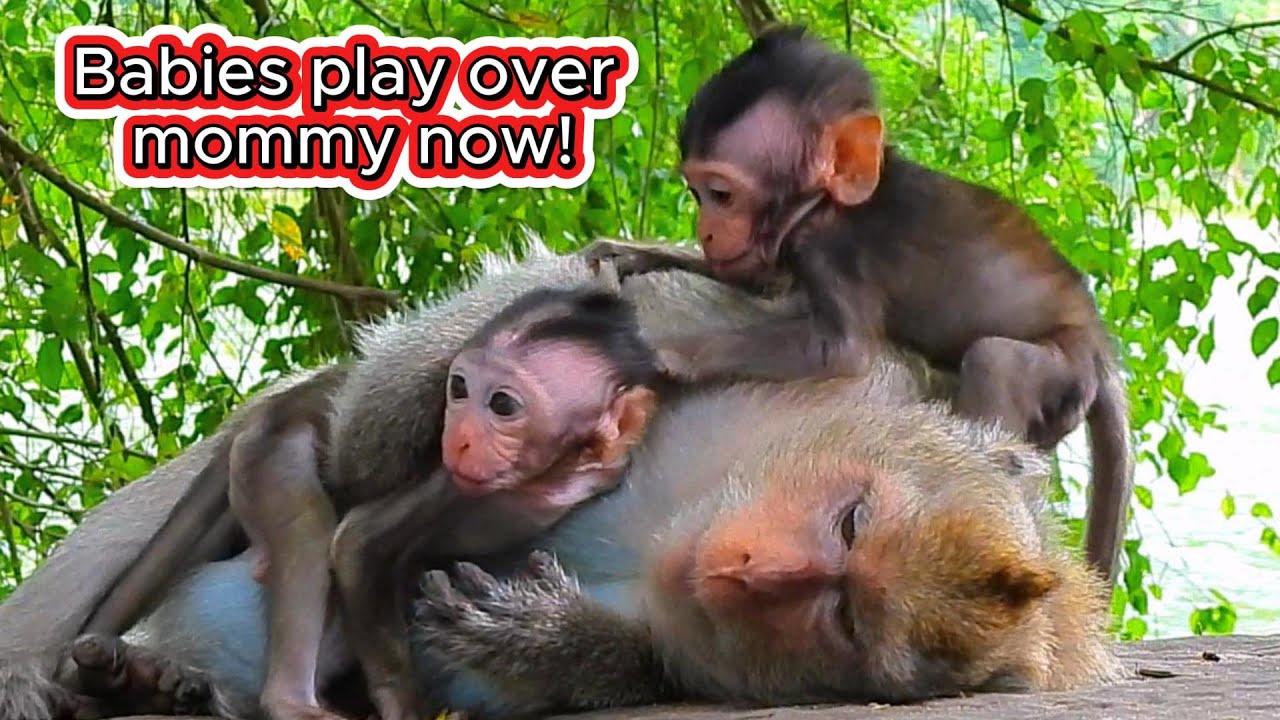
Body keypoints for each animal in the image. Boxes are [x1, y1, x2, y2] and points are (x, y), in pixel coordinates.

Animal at [583, 26, 1132, 583]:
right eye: (695, 194)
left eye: (721, 194)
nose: (707, 231)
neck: (826, 205)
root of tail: (1099, 344)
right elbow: (758, 281)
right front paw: (634, 252)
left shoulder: (833, 248)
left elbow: (841, 350)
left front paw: (663, 350)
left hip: (1065, 371)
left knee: (997, 359)